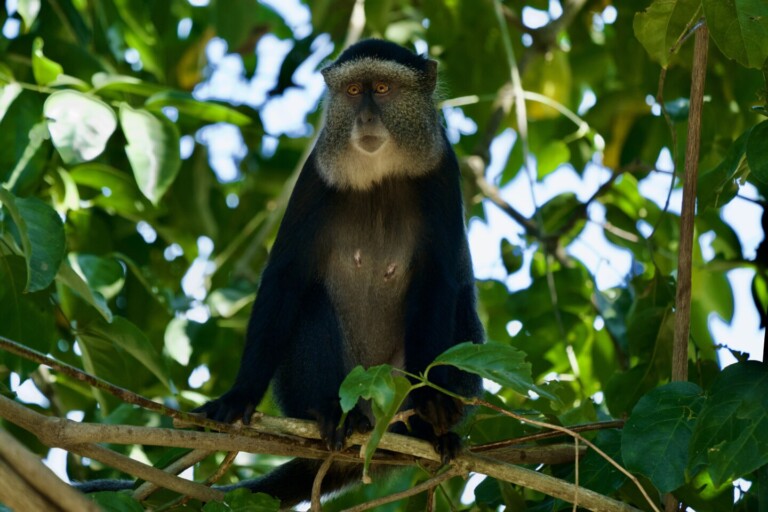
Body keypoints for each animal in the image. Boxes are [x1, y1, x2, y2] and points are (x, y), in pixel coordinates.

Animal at [75, 39, 484, 507]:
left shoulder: (442, 172)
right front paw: (240, 397)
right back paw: (331, 416)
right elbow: (286, 276)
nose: (364, 118)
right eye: (353, 91)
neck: (380, 175)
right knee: (309, 302)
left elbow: (439, 281)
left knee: (459, 309)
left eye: (382, 88)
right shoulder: (315, 175)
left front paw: (432, 404)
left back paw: (429, 434)